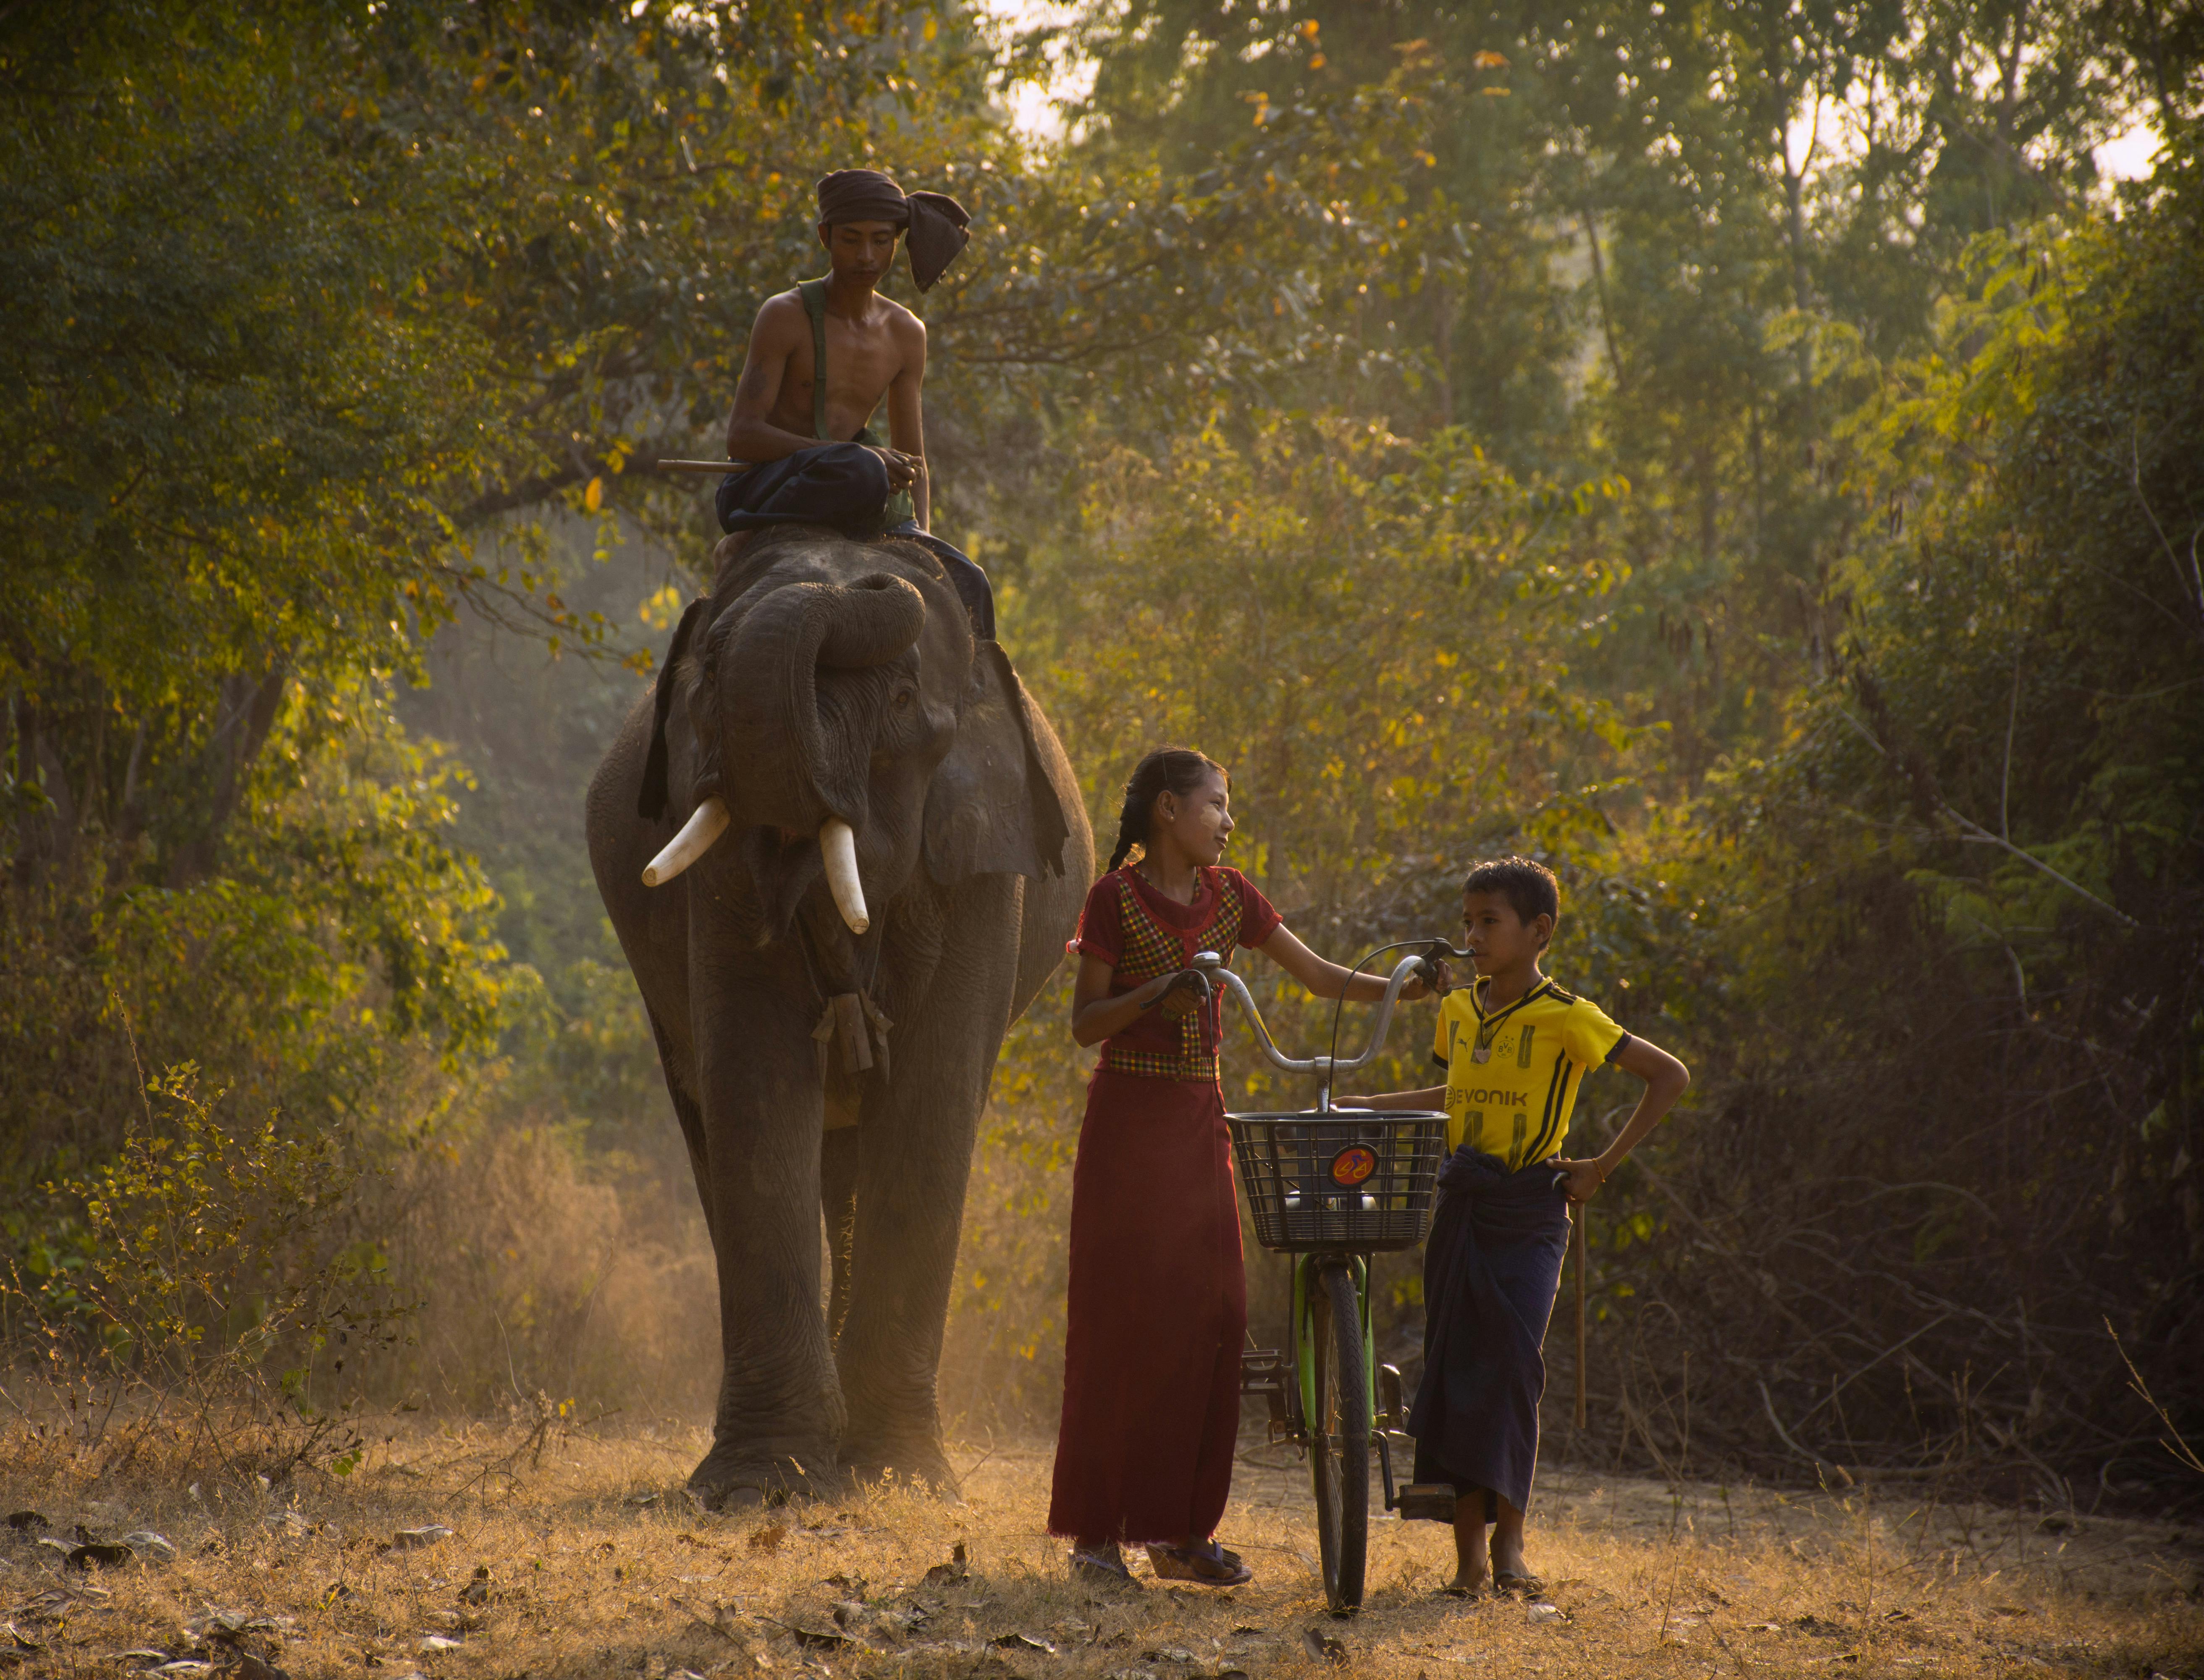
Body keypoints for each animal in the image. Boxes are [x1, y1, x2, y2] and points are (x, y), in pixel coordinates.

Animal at [585, 522, 1092, 1510]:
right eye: (706, 672)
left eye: (900, 700)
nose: (874, 576)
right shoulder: (713, 865)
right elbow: (754, 1087)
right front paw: (758, 1484)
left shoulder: (984, 865)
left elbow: (932, 1109)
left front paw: (902, 1478)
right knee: (718, 1135)